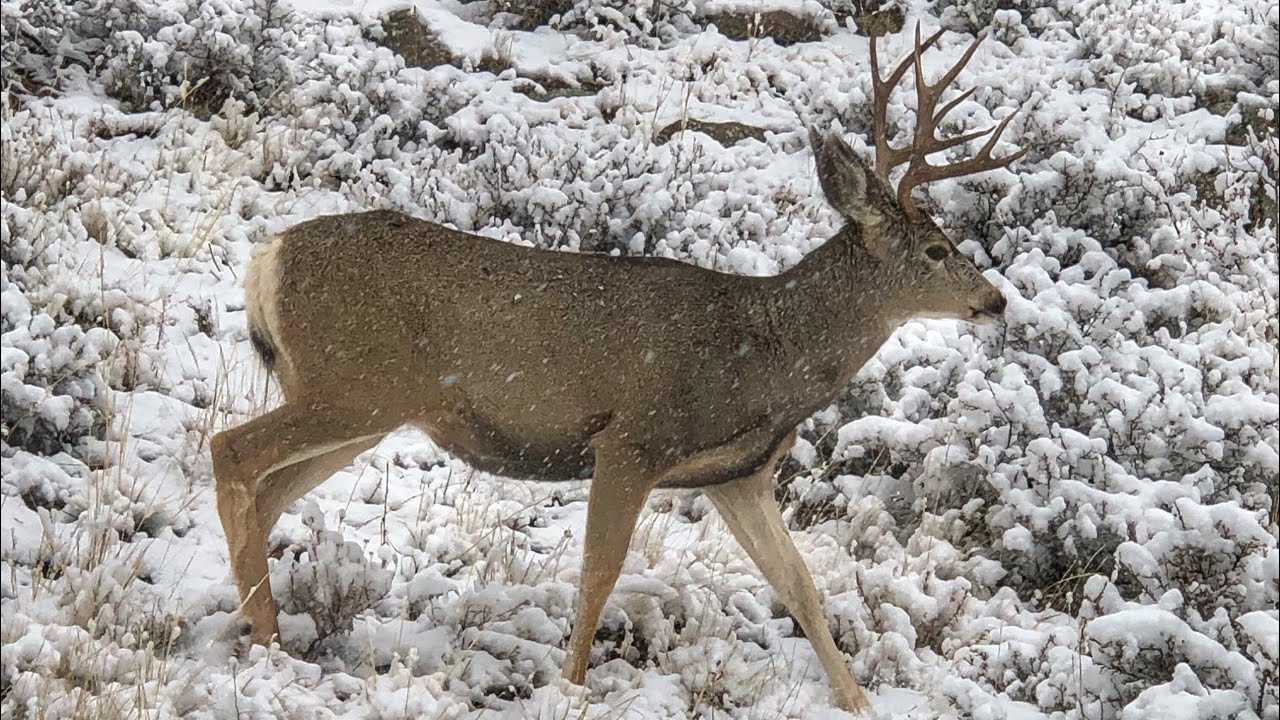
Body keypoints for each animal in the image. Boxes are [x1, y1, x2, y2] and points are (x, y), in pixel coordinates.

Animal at [211, 24, 1024, 715]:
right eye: (936, 250)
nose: (996, 300)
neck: (762, 356)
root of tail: (265, 257)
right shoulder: (633, 439)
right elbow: (599, 572)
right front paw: (570, 686)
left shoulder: (736, 473)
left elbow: (799, 585)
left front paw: (855, 701)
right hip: (354, 387)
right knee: (230, 450)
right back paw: (268, 638)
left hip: (360, 404)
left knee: (267, 490)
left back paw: (258, 625)